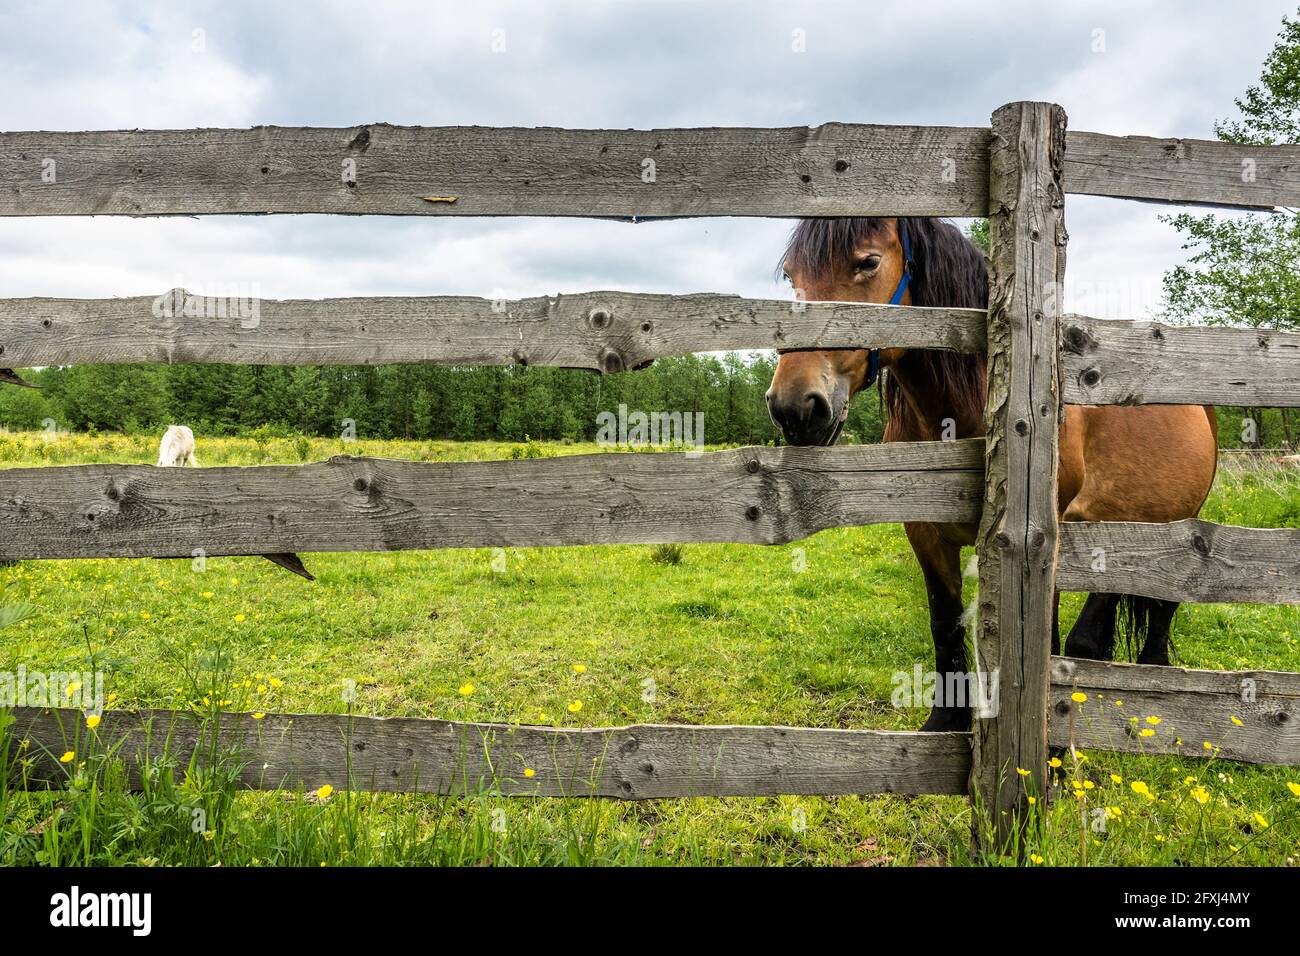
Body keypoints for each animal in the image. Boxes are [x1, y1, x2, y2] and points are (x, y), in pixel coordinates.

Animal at [766, 217, 1218, 732]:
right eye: (792, 274)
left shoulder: (1038, 543)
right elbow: (944, 624)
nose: (794, 407)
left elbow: (1047, 637)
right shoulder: (926, 533)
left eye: (868, 262)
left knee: (1153, 610)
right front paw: (944, 722)